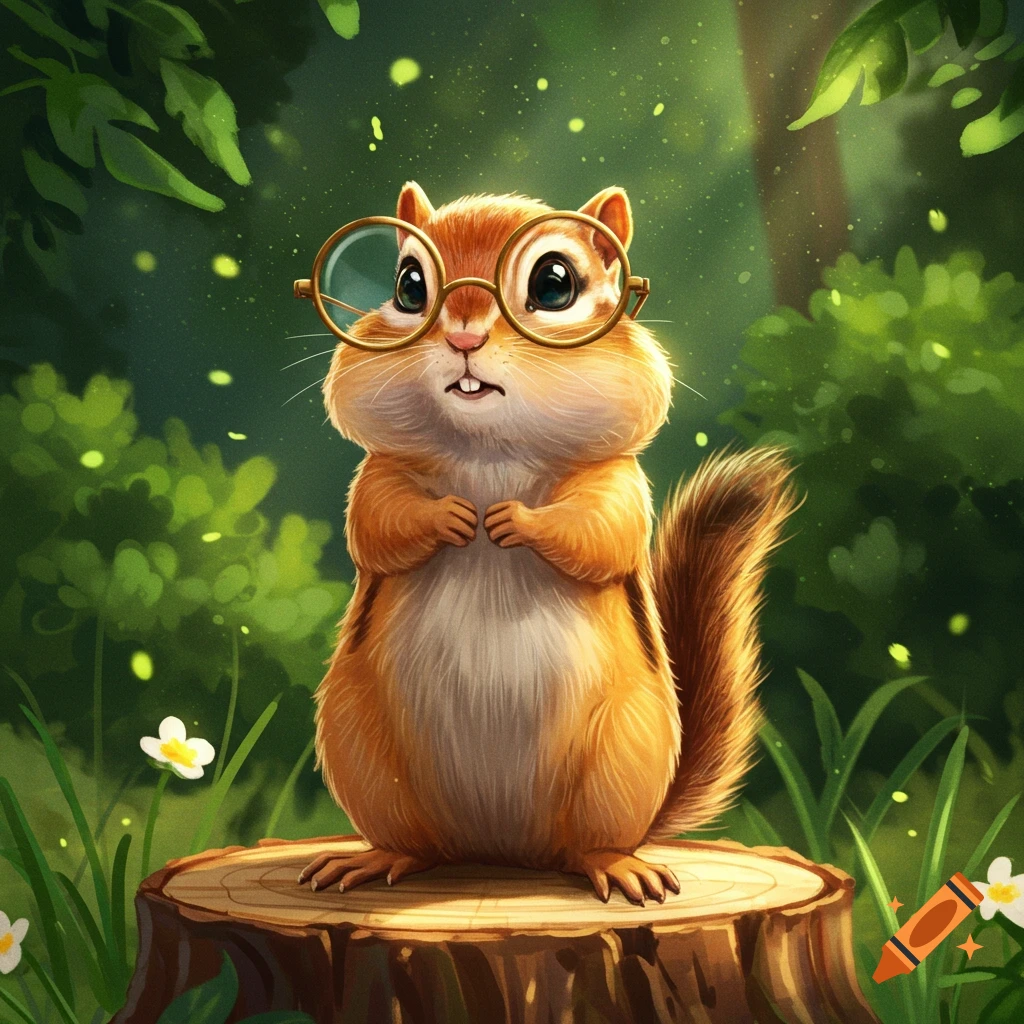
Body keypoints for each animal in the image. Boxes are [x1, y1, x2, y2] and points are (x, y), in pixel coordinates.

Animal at [297, 182, 799, 904]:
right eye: (409, 286)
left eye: (554, 283)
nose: (464, 335)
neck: (487, 453)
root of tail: (501, 852)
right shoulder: (376, 477)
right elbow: (377, 526)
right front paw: (451, 519)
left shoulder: (618, 484)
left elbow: (600, 535)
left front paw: (515, 523)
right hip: (359, 747)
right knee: (413, 843)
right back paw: (375, 859)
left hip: (619, 759)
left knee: (588, 845)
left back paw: (619, 866)